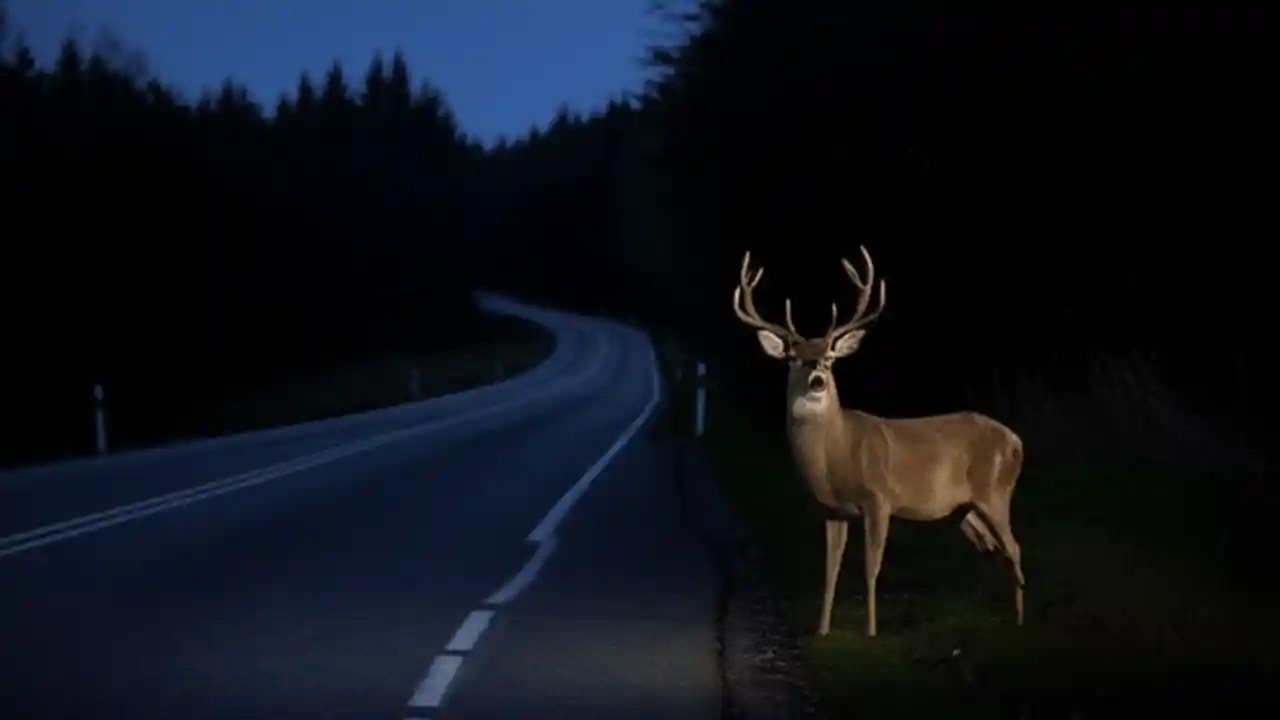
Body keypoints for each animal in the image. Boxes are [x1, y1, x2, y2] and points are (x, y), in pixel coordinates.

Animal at [731, 246, 1026, 637]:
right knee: (994, 551)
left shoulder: (879, 499)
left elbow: (871, 568)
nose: (817, 380)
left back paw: (1021, 622)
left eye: (829, 358)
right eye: (794, 359)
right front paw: (822, 630)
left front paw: (870, 631)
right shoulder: (831, 509)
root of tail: (1016, 441)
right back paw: (1001, 618)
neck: (834, 458)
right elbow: (830, 571)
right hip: (962, 510)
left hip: (995, 493)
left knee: (1014, 548)